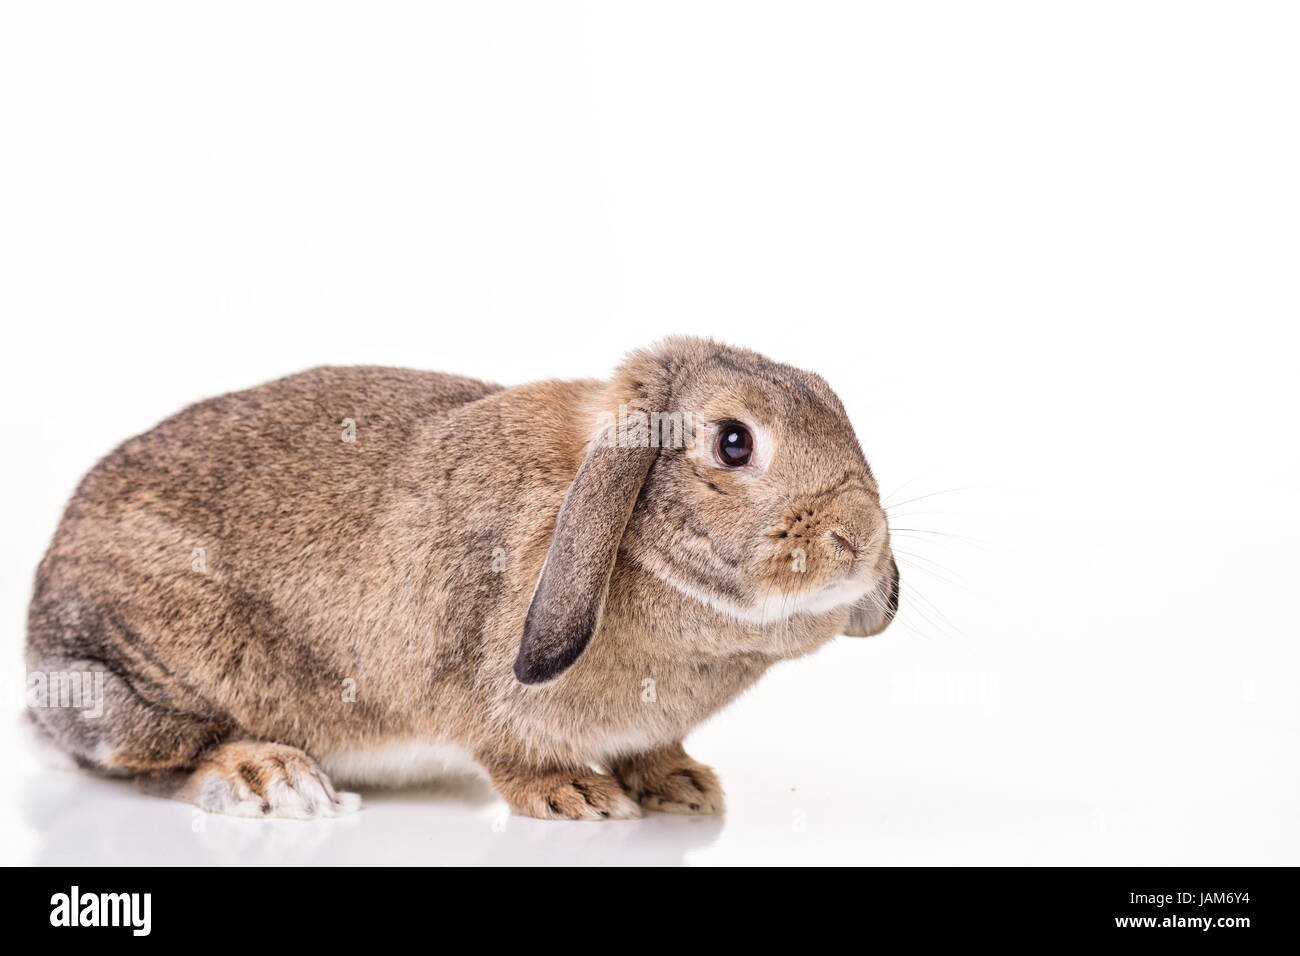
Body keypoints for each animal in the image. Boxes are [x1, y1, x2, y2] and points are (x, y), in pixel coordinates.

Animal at [25, 336, 899, 820]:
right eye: (732, 441)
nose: (859, 537)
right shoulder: (475, 679)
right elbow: (508, 747)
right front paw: (577, 798)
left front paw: (681, 786)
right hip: (141, 680)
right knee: (161, 758)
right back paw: (272, 780)